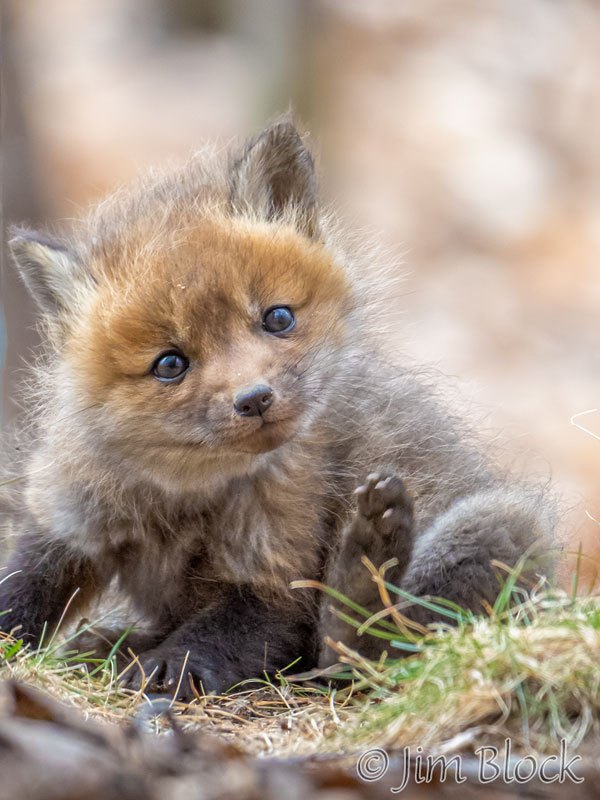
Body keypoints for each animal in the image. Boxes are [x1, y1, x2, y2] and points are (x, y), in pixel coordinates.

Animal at [0, 119, 555, 698]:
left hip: (499, 525)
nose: (255, 398)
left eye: (278, 317)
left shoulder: (279, 574)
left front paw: (166, 670)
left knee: (364, 654)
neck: (185, 494)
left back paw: (366, 572)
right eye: (170, 363)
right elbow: (23, 589)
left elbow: (217, 636)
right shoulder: (69, 517)